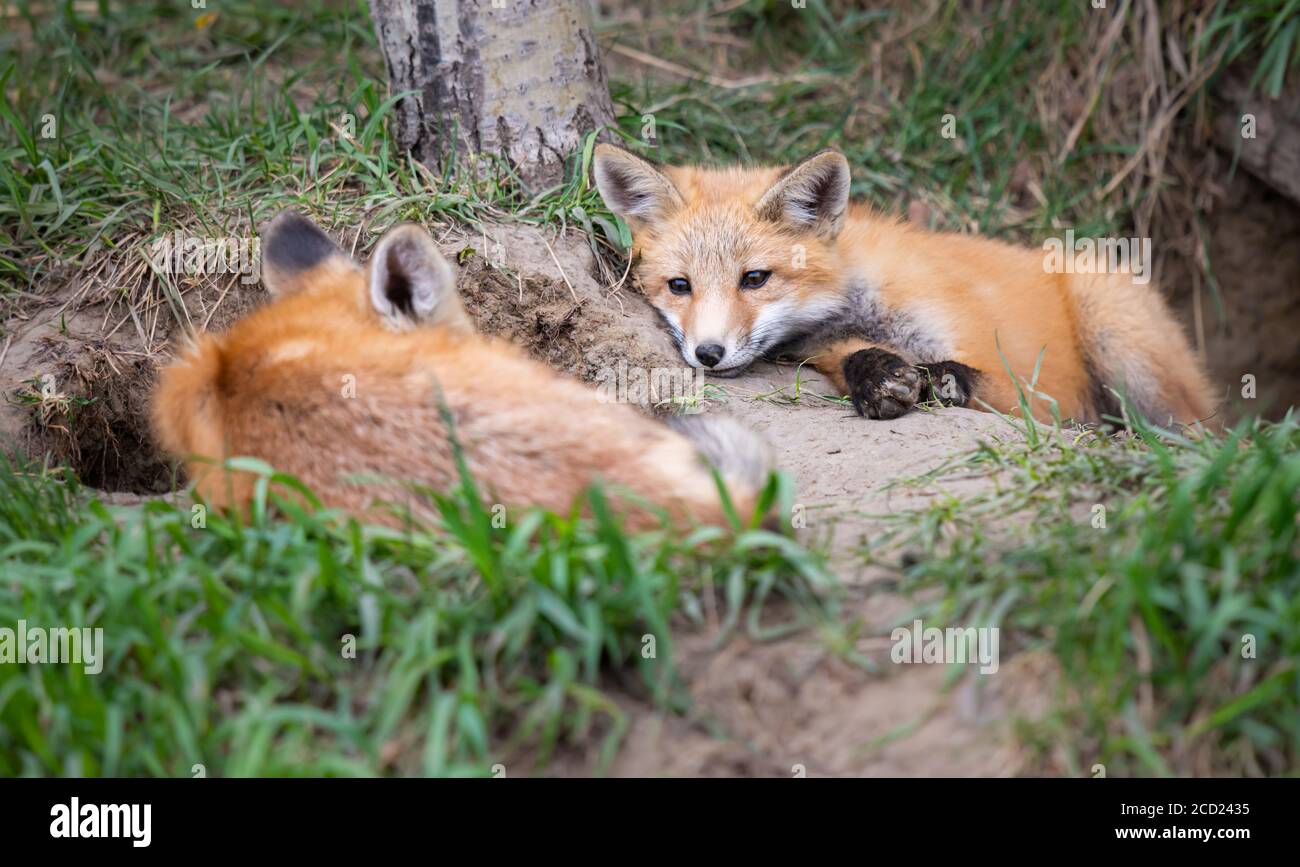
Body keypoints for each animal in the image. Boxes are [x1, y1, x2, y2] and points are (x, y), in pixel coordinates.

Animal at [591, 144, 1215, 426]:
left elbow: (977, 377)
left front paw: (944, 380)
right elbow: (856, 362)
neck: (858, 306)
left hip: (1119, 344)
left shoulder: (1038, 392)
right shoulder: (825, 348)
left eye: (754, 279)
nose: (709, 353)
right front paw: (879, 381)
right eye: (678, 285)